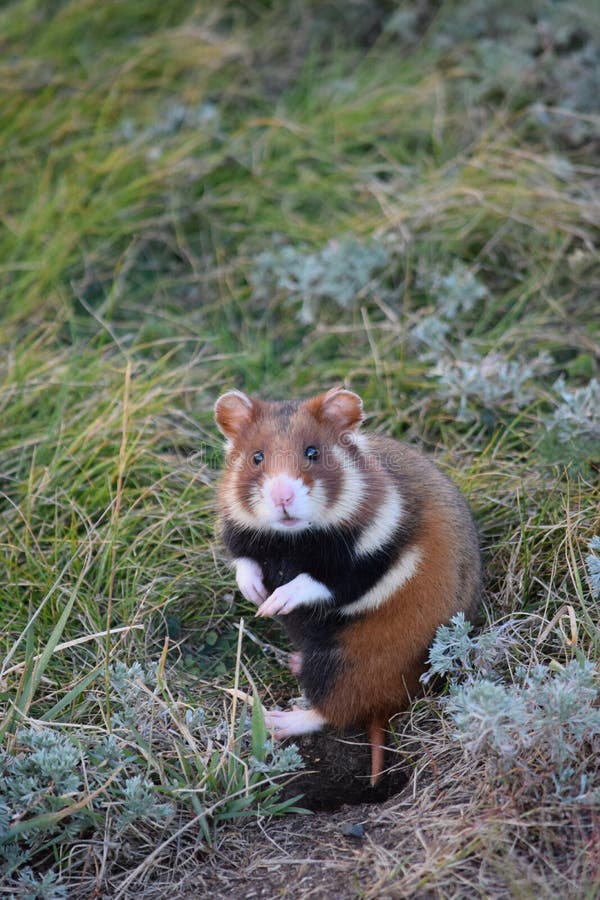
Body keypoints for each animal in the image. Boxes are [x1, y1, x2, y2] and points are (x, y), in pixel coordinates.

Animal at [214, 387, 482, 784]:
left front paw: (273, 603)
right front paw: (256, 594)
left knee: (335, 711)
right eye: (256, 457)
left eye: (313, 452)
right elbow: (244, 561)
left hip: (342, 666)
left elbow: (317, 582)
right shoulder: (242, 535)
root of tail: (389, 704)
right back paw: (292, 662)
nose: (282, 498)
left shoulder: (366, 561)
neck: (291, 540)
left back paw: (277, 720)